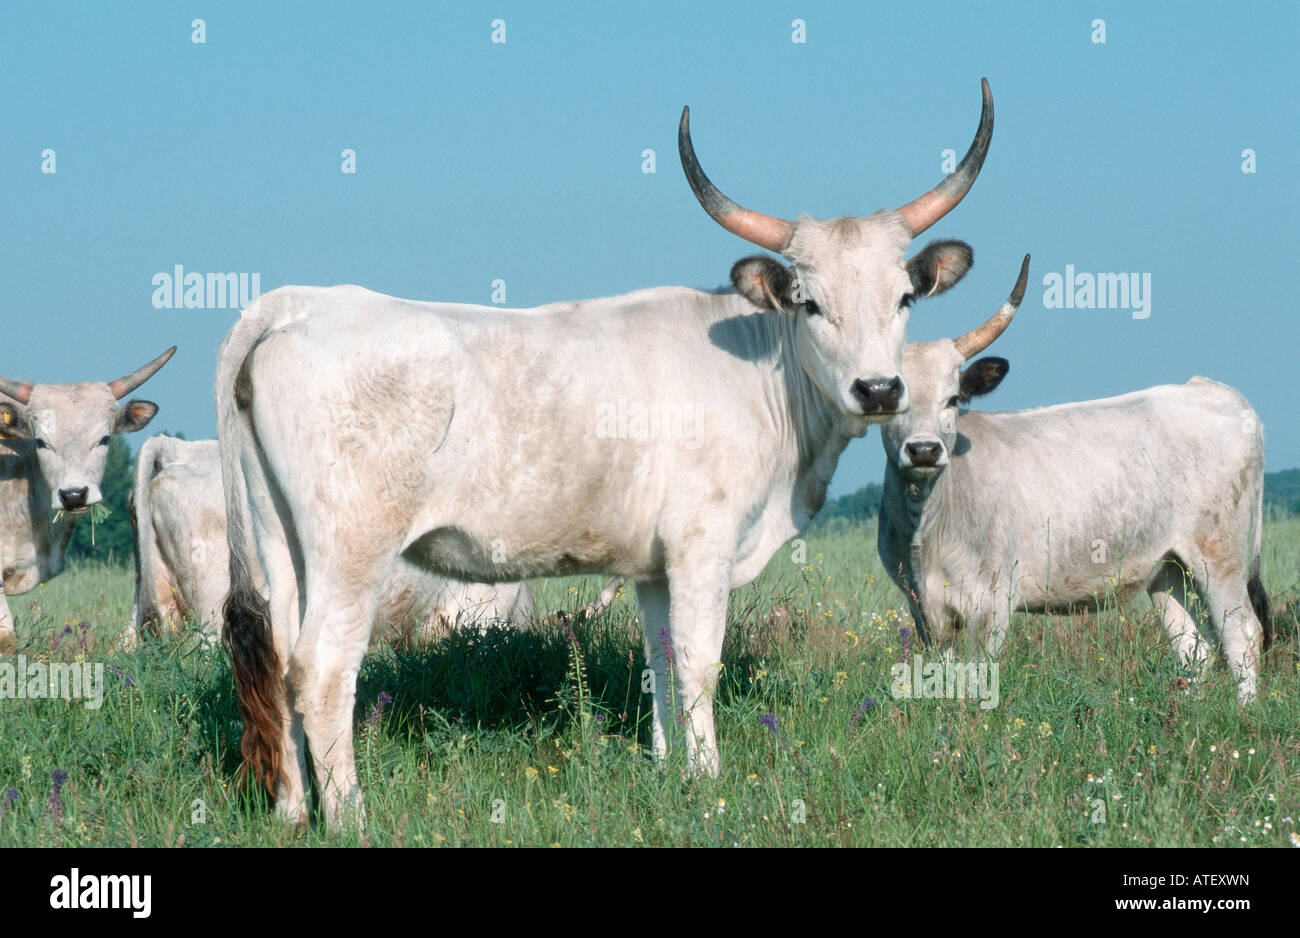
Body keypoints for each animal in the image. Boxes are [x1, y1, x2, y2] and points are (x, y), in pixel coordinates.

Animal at [219, 80, 998, 829]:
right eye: (810, 303)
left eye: (905, 298)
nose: (879, 387)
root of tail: (296, 304)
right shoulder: (703, 543)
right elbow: (699, 662)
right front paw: (710, 786)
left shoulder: (653, 566)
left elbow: (660, 661)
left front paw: (670, 771)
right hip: (353, 546)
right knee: (322, 669)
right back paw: (351, 816)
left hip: (280, 539)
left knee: (280, 662)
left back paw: (292, 811)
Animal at [877, 256, 1271, 703]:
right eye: (894, 401)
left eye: (954, 398)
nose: (924, 450)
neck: (928, 527)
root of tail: (1216, 392)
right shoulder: (923, 608)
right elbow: (942, 674)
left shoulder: (991, 603)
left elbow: (978, 674)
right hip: (1169, 568)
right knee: (1194, 646)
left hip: (1221, 556)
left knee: (1242, 633)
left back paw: (1245, 712)